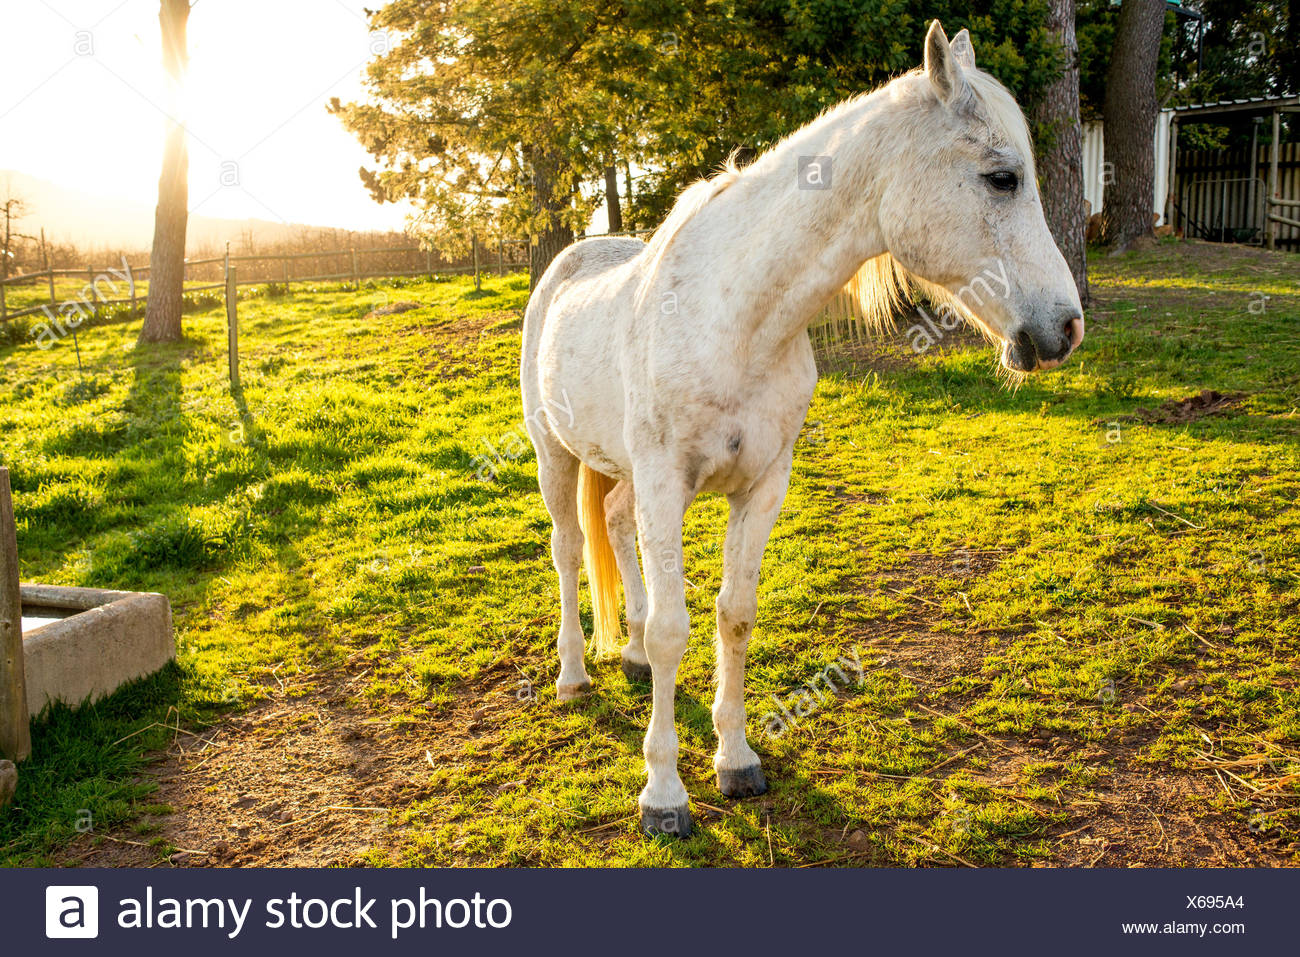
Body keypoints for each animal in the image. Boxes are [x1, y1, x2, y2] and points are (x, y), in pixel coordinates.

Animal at [520, 21, 1084, 838]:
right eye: (1002, 177)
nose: (1066, 329)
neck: (737, 317)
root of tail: (569, 261)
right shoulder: (665, 484)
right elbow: (673, 629)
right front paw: (664, 794)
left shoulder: (762, 485)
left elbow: (734, 616)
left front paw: (734, 758)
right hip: (554, 457)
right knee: (567, 552)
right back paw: (571, 676)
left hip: (619, 472)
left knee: (615, 527)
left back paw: (626, 657)